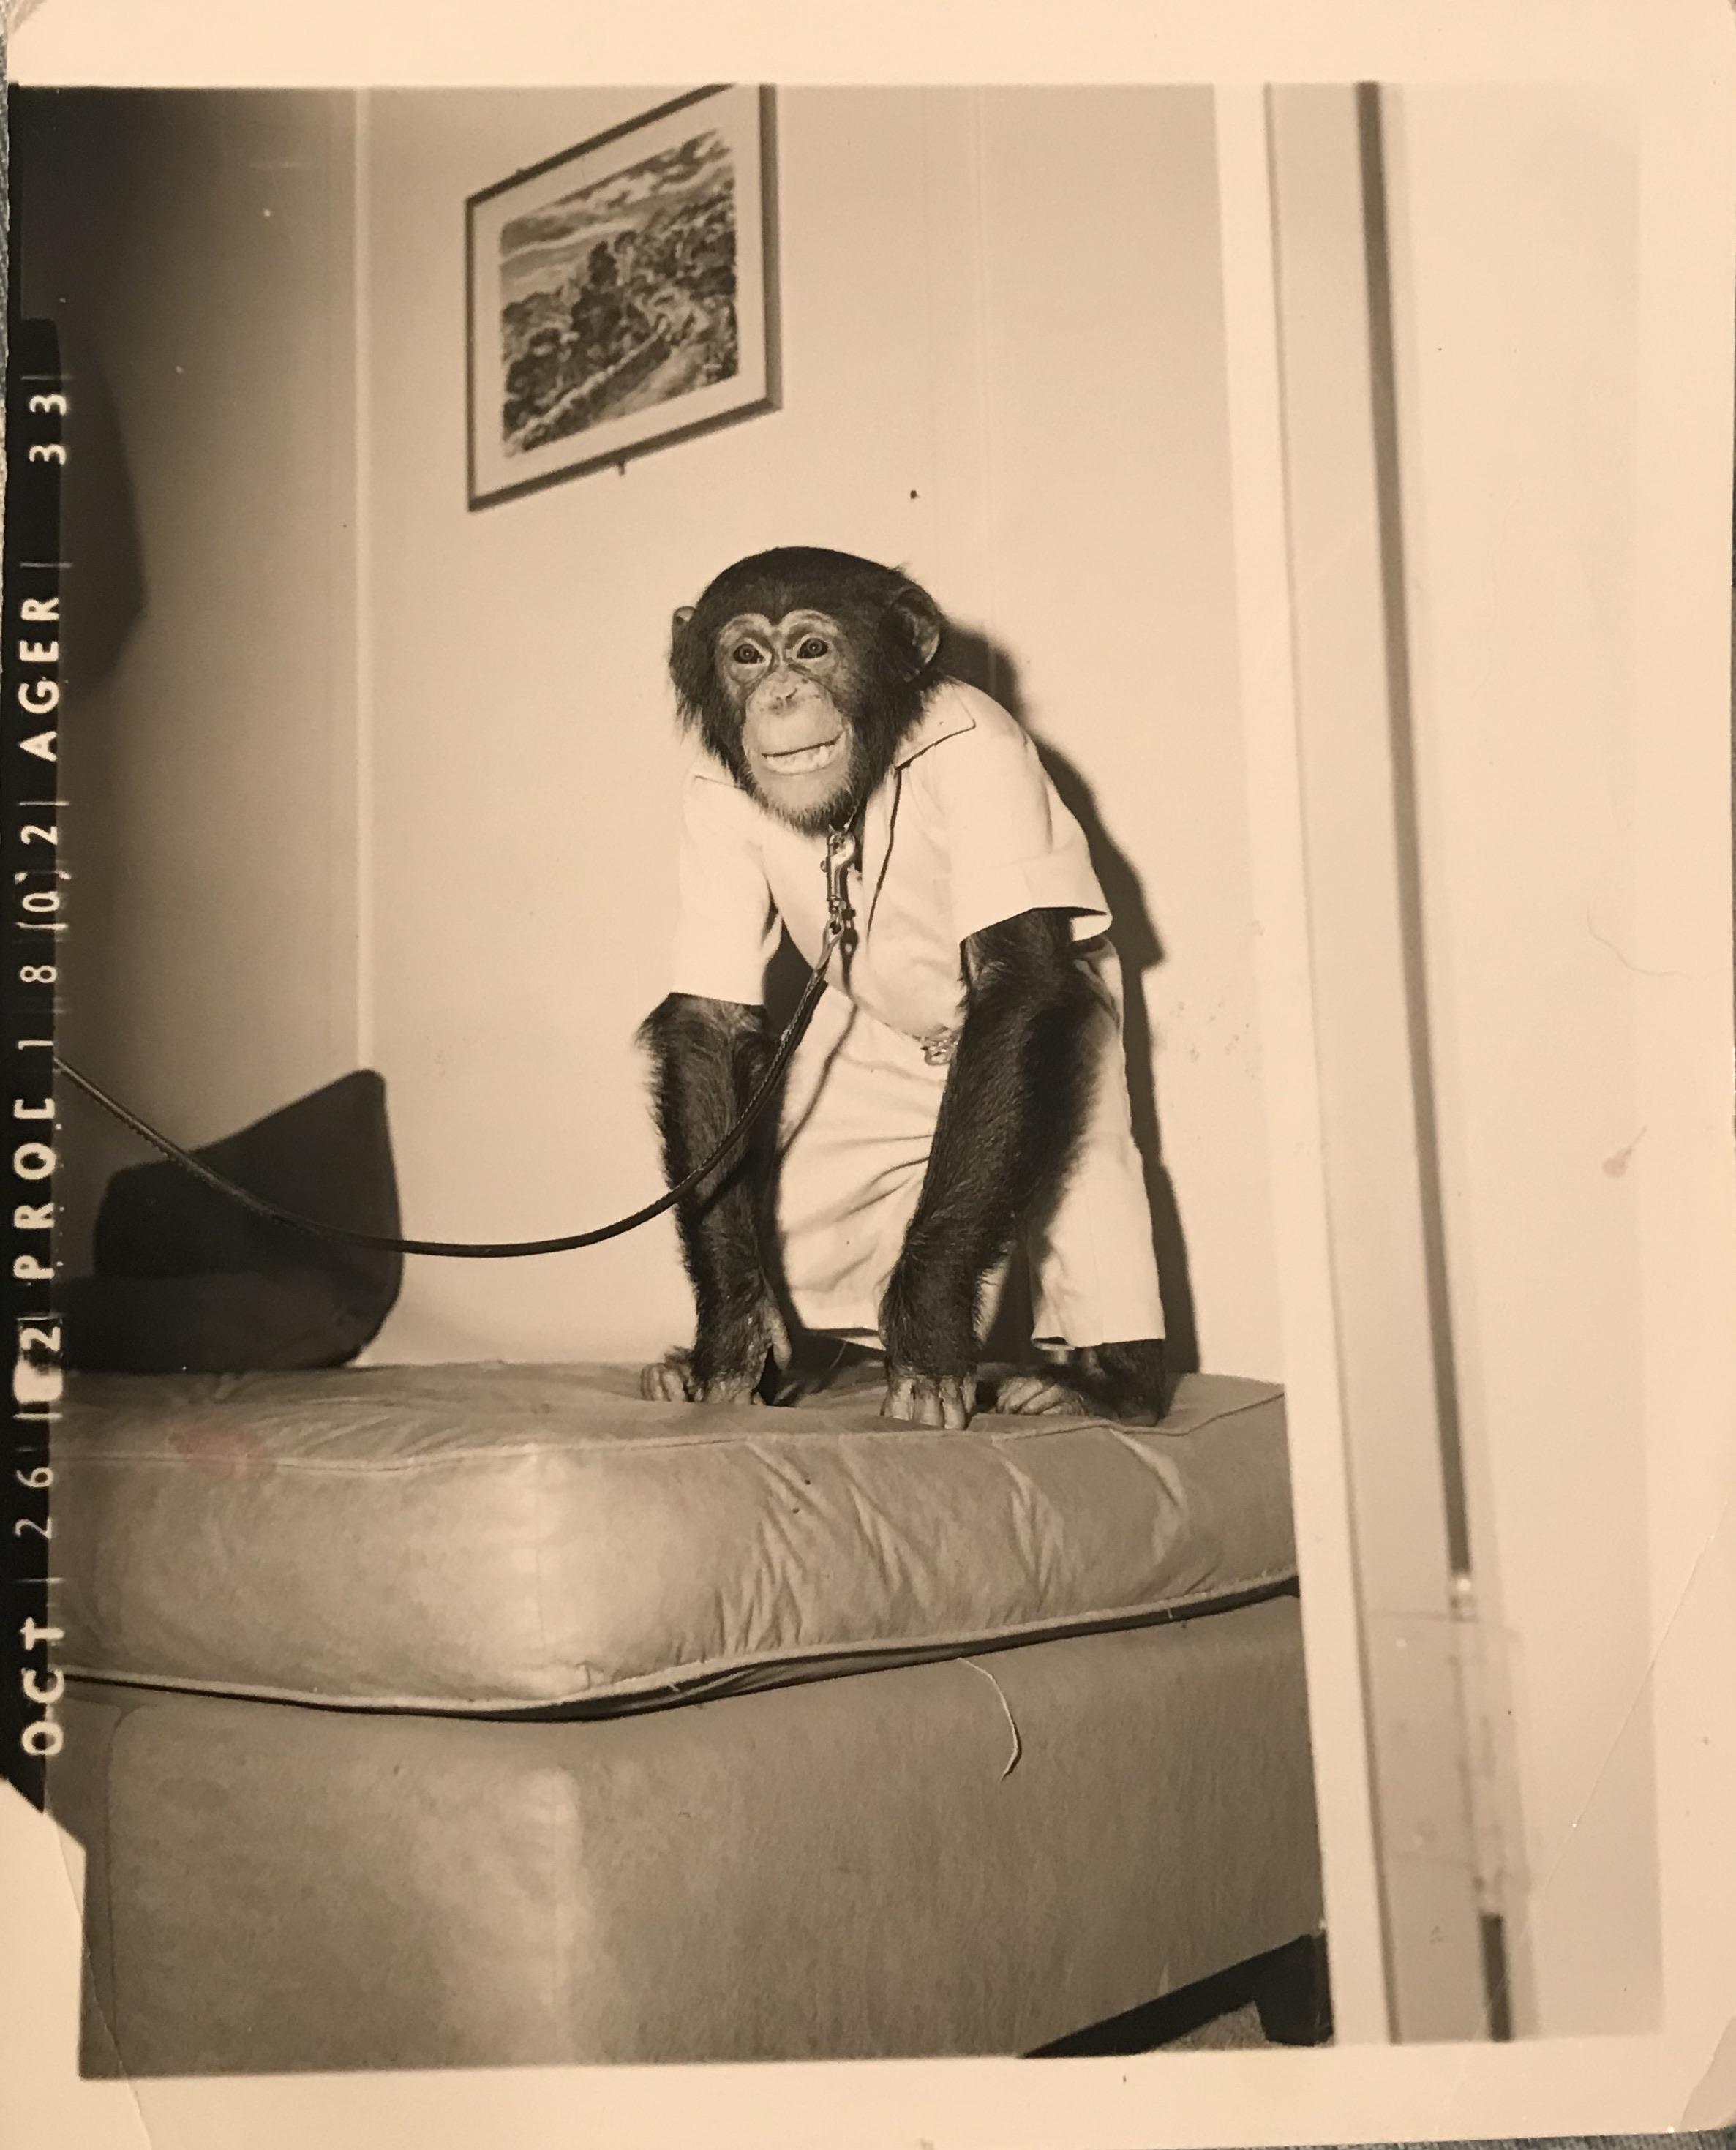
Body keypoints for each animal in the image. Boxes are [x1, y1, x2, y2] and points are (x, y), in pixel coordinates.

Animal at [638, 546, 1169, 1430]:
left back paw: (1103, 1381)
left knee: (1090, 1156)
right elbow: (712, 1020)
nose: (781, 694)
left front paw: (924, 1338)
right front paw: (735, 1335)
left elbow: (1012, 980)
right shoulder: (707, 800)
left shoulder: (989, 754)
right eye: (745, 655)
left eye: (812, 649)